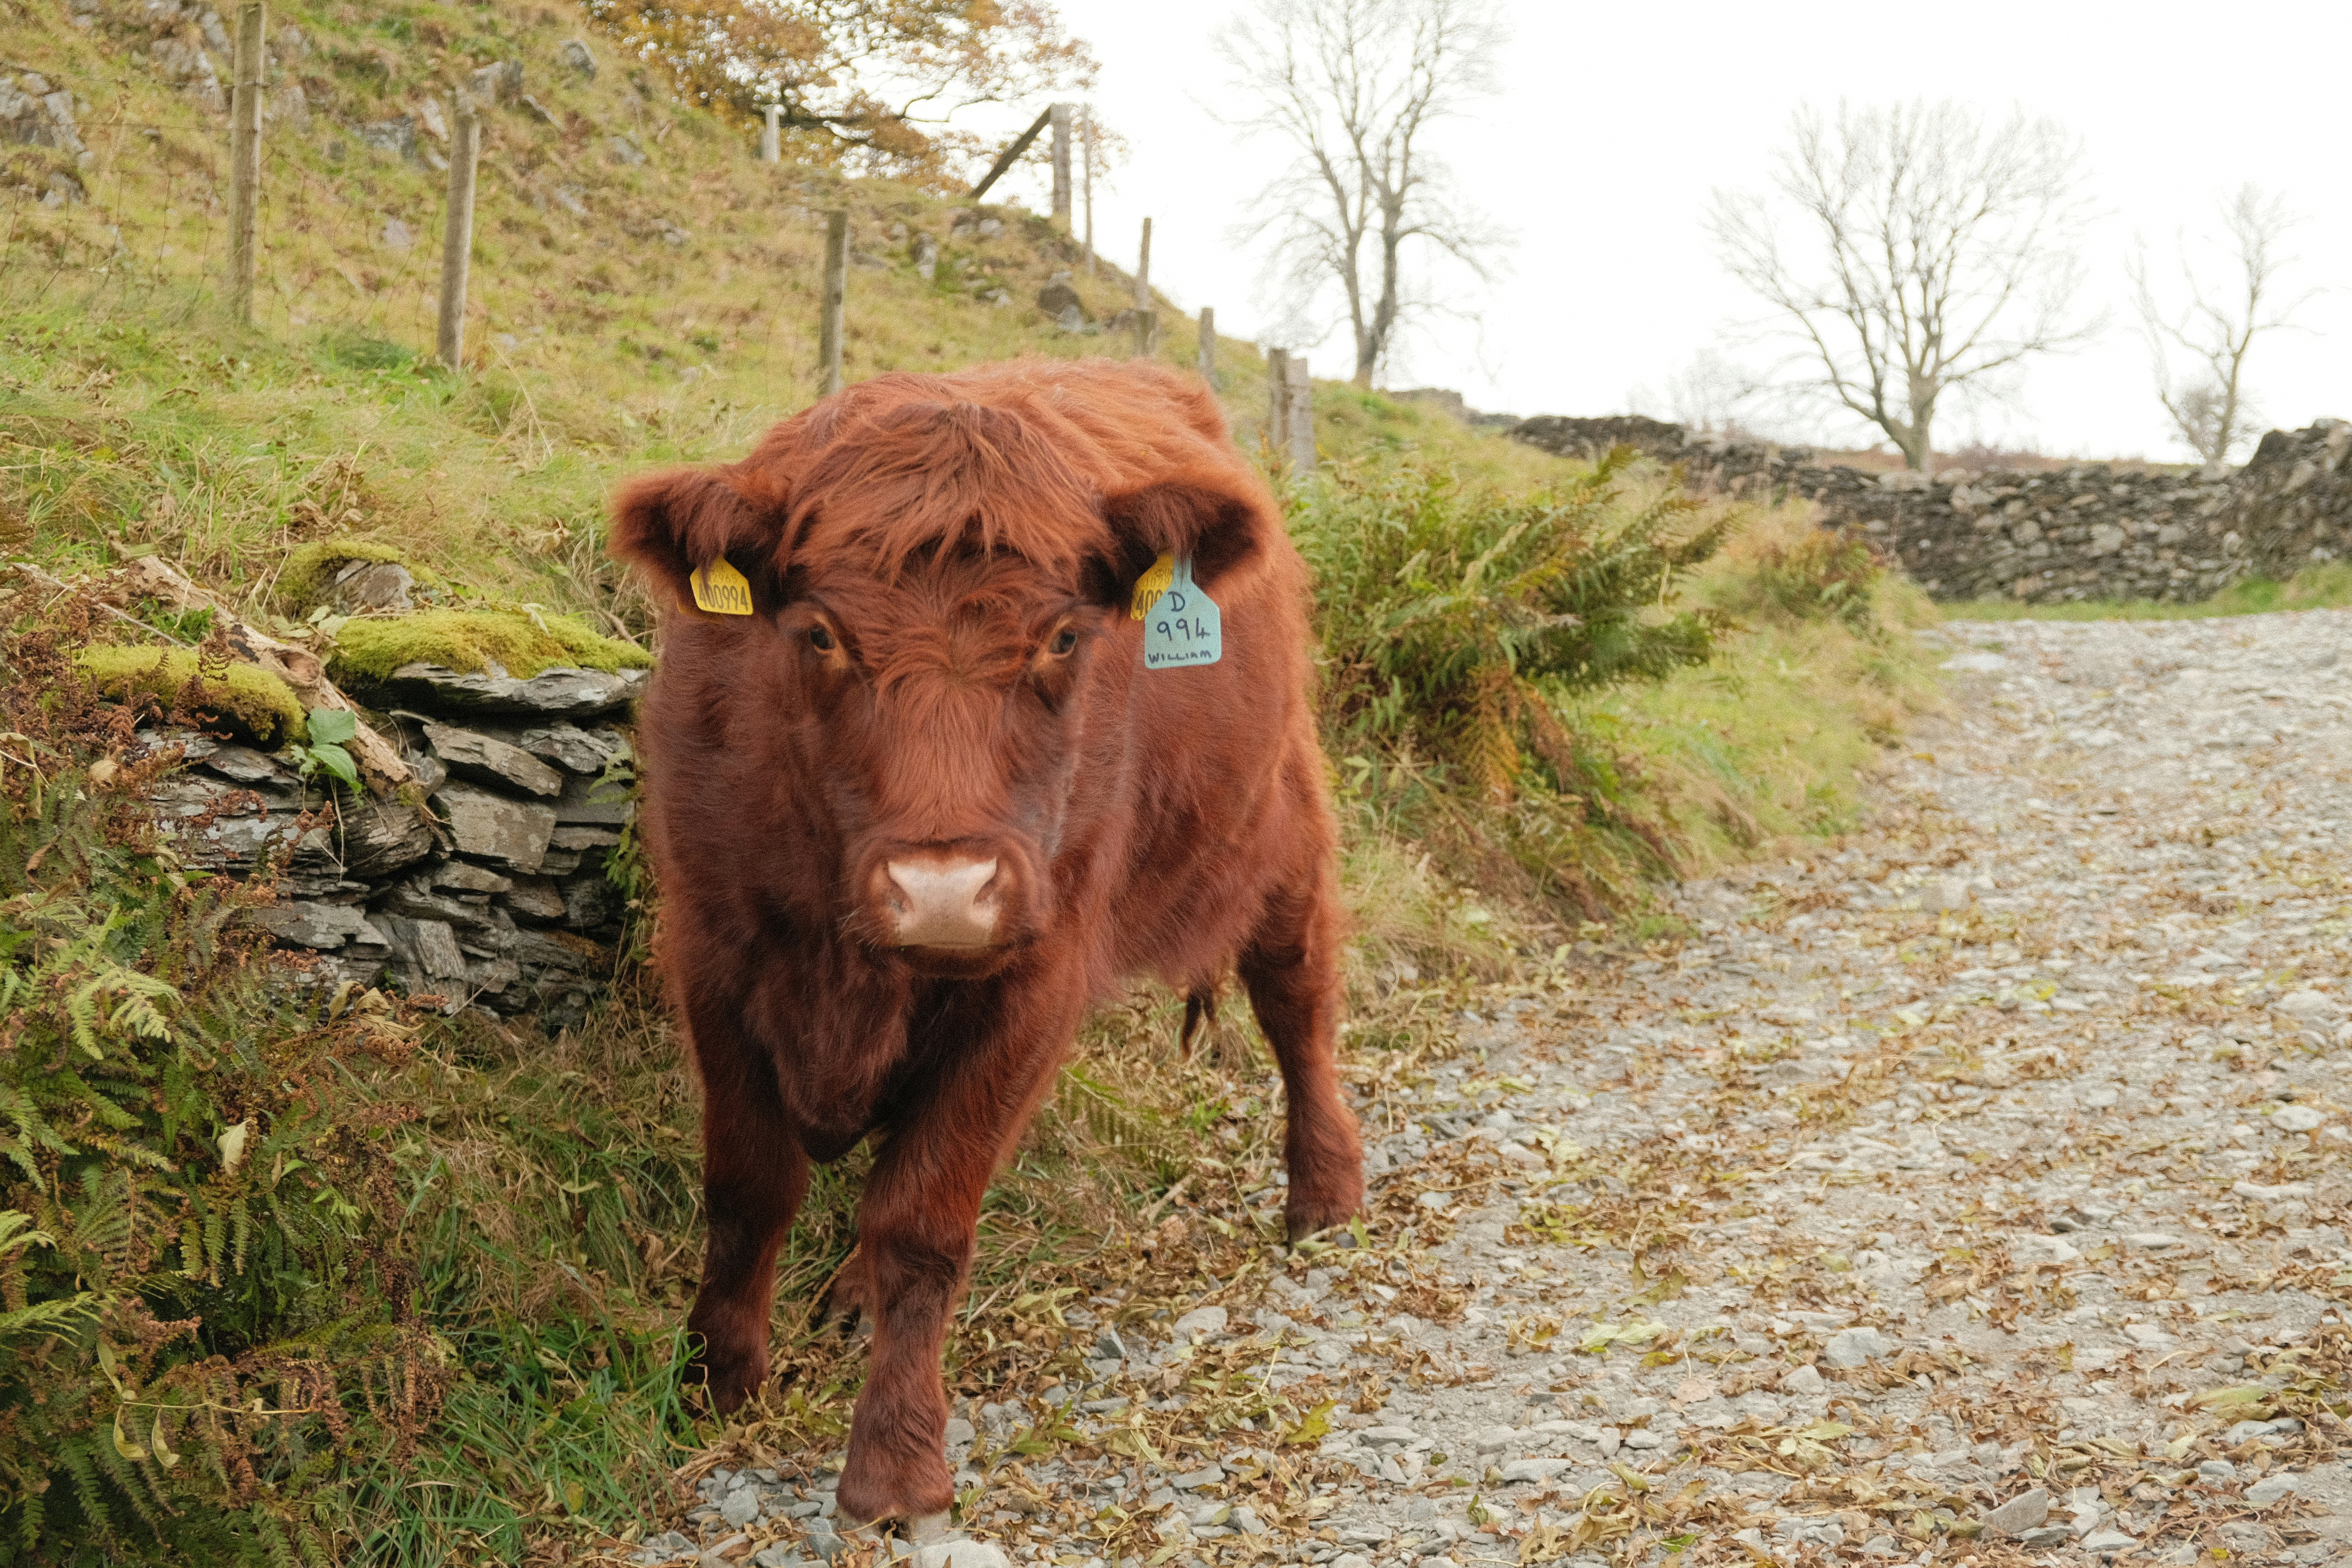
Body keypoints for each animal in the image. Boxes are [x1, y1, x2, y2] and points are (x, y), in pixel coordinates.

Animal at [609, 358, 1363, 1533]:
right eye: (820, 634)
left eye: (1062, 638)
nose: (943, 894)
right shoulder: (716, 947)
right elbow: (747, 1187)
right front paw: (714, 1382)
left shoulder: (1032, 977)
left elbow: (924, 1222)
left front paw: (894, 1466)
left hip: (1279, 822)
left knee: (1298, 999)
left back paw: (1324, 1195)